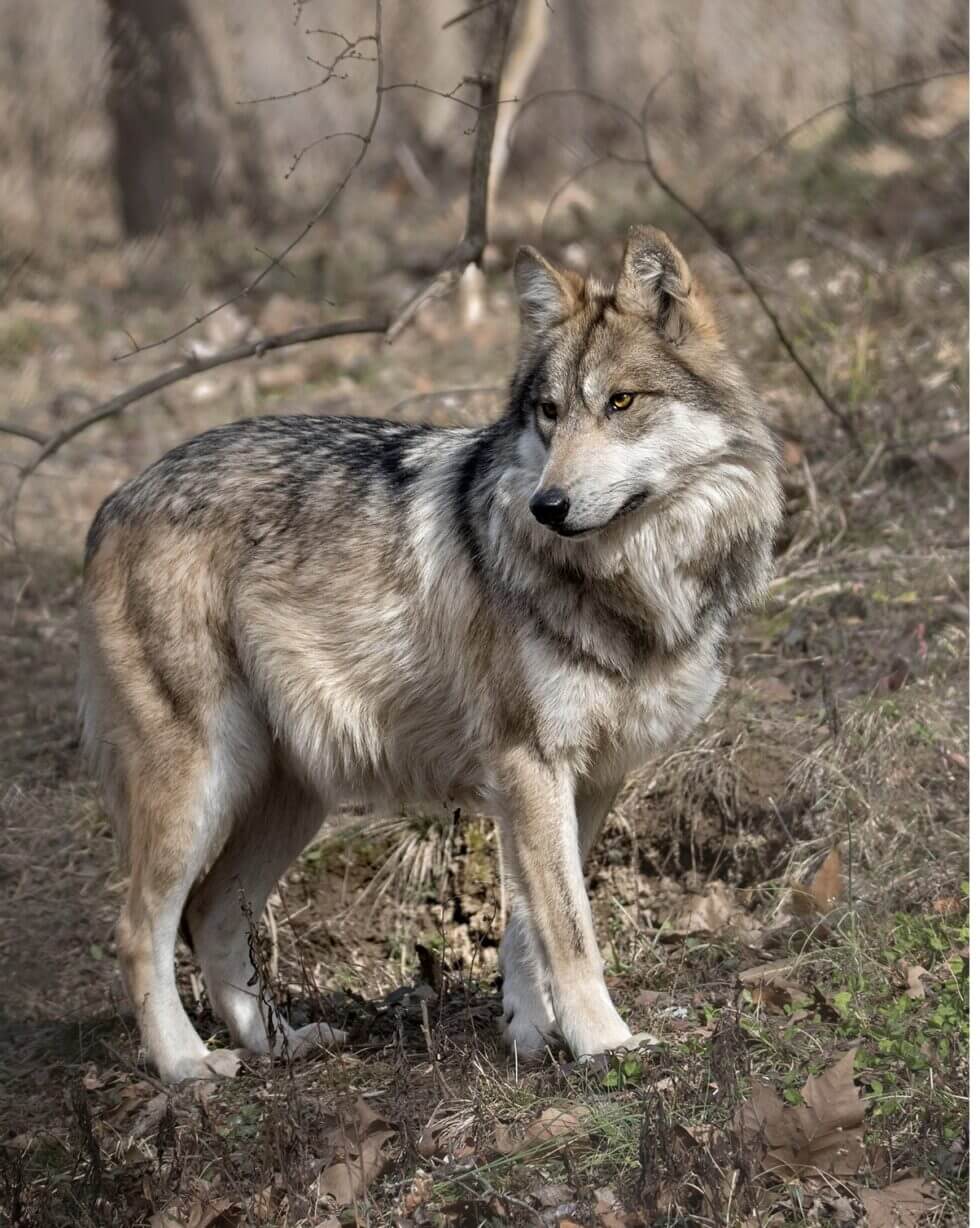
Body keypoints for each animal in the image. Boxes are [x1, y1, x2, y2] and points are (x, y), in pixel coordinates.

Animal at [79, 227, 782, 1083]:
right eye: (549, 413)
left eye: (621, 402)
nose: (547, 506)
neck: (634, 584)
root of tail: (114, 502)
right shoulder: (529, 763)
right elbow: (570, 928)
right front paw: (603, 1043)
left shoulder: (583, 780)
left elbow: (531, 921)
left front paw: (528, 1032)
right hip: (201, 781)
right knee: (139, 926)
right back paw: (187, 1066)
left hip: (291, 792)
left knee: (210, 913)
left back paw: (279, 1044)